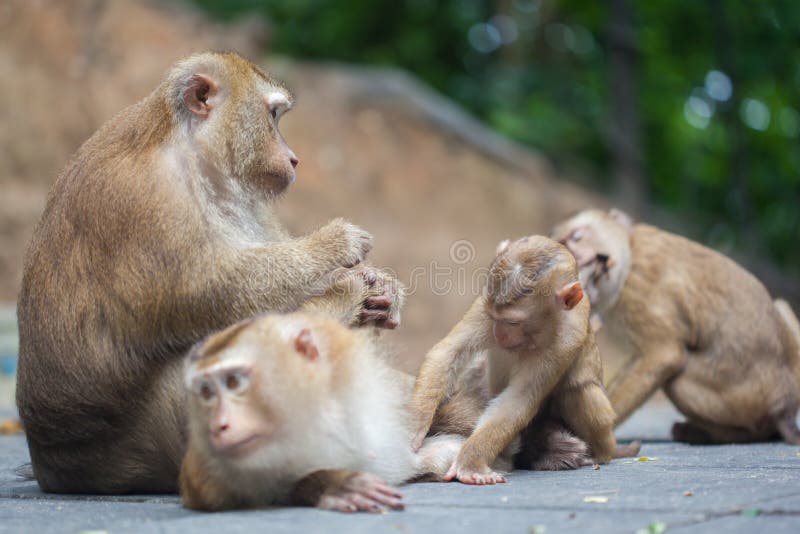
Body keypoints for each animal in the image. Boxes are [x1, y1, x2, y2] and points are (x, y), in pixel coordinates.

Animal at [15, 51, 404, 494]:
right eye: (273, 116)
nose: (293, 158)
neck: (191, 155)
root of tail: (52, 467)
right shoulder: (146, 195)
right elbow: (208, 292)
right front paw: (337, 256)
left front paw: (382, 288)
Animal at [408, 236, 640, 485]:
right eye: (494, 316)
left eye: (512, 322)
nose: (498, 333)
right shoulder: (484, 303)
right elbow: (448, 352)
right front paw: (412, 426)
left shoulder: (564, 341)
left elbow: (519, 399)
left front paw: (470, 462)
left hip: (603, 433)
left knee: (579, 389)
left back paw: (591, 454)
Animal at [552, 208, 800, 444]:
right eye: (563, 244)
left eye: (577, 236)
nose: (576, 258)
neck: (631, 254)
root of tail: (784, 405)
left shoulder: (640, 289)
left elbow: (664, 354)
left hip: (744, 401)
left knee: (678, 381)